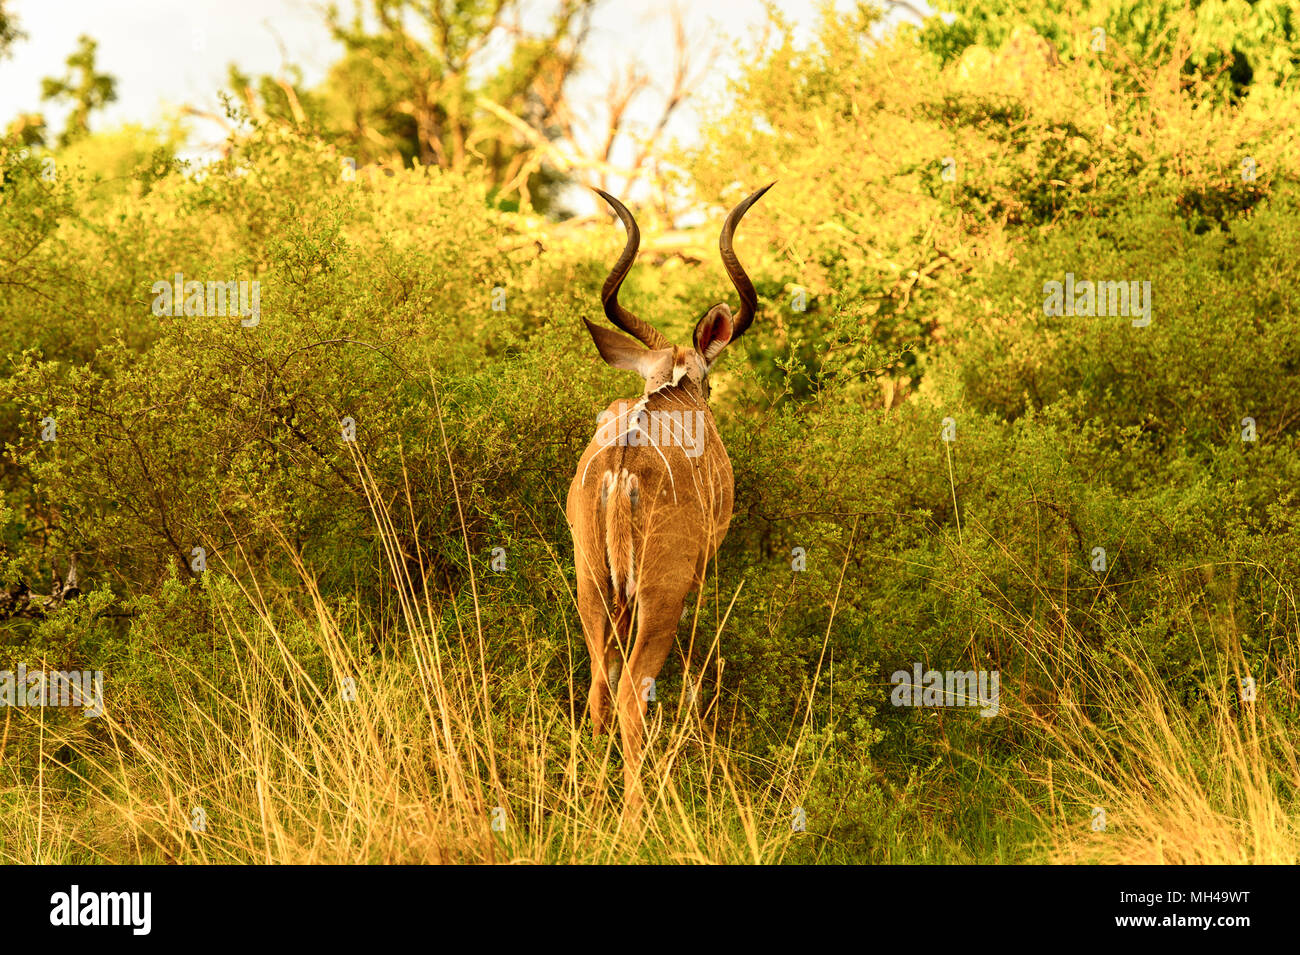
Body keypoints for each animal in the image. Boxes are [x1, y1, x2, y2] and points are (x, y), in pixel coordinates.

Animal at [566, 183, 772, 805]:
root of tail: (622, 462)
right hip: (660, 593)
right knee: (630, 693)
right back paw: (638, 812)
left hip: (593, 584)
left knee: (597, 687)